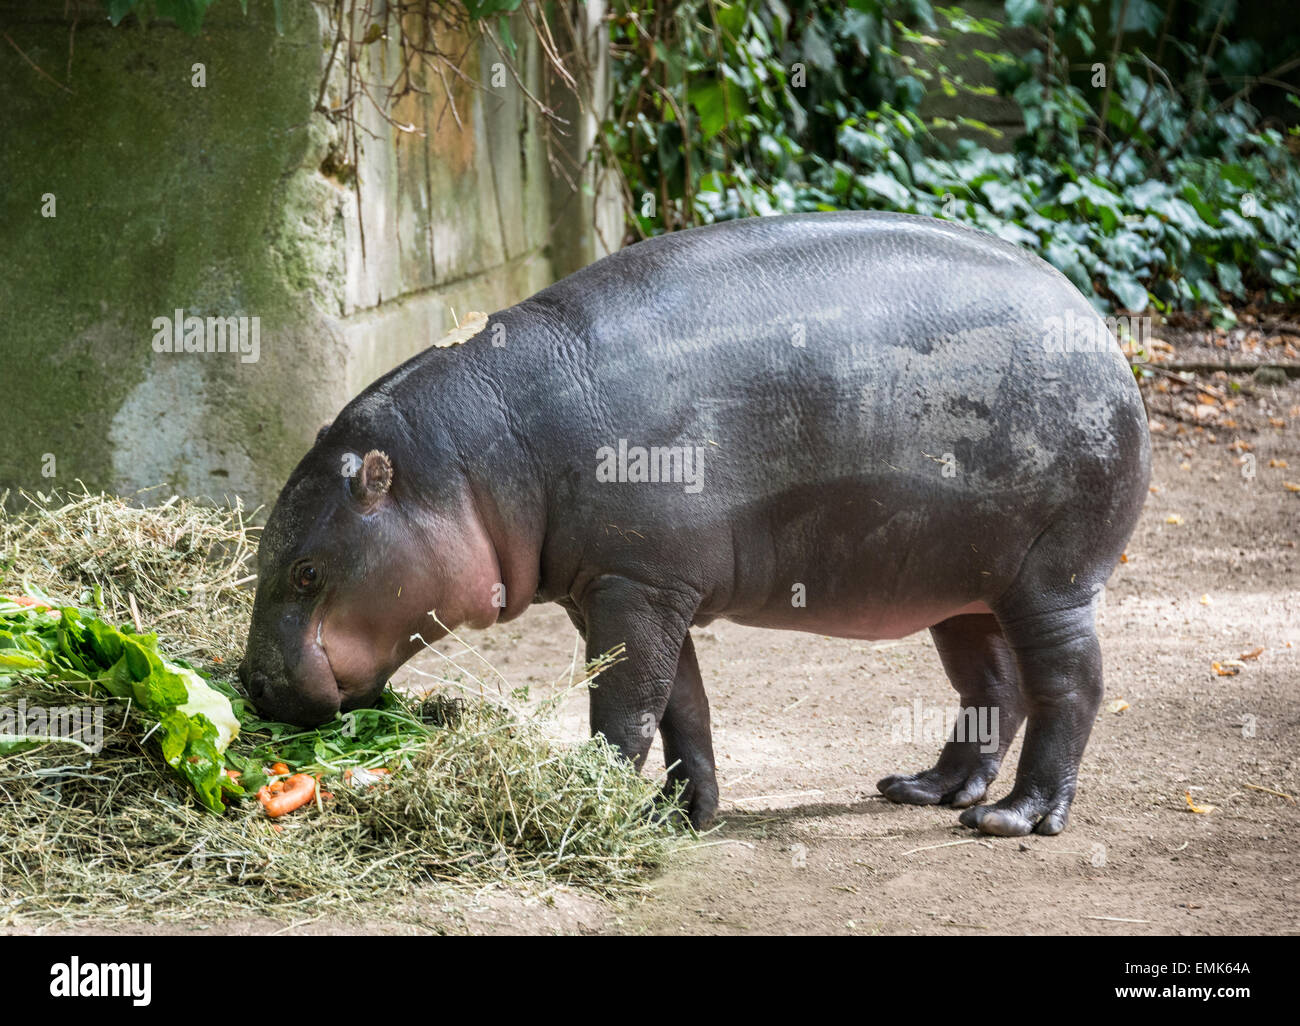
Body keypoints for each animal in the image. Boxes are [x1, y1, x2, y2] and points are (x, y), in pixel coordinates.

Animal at [240, 211, 1150, 837]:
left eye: (308, 571)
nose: (249, 684)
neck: (470, 457)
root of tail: (1101, 330)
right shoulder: (629, 588)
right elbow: (682, 707)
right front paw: (681, 815)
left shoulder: (636, 588)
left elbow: (624, 709)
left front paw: (595, 799)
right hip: (958, 584)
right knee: (989, 686)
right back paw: (927, 790)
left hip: (1051, 581)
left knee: (1070, 684)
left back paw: (1014, 818)